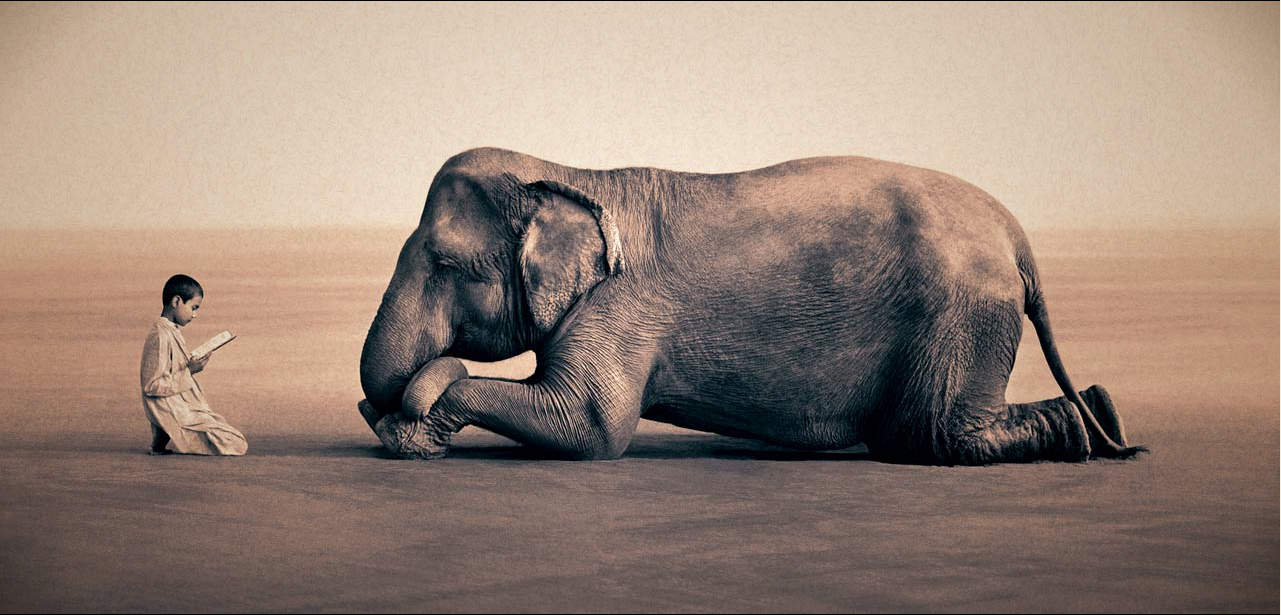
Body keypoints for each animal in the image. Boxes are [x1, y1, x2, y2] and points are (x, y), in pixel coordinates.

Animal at [357, 147, 1145, 464]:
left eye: (444, 263)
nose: (378, 400)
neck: (570, 173)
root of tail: (1016, 235)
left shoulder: (622, 306)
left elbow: (590, 428)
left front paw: (414, 422)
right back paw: (1102, 416)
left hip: (962, 311)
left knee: (936, 436)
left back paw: (1085, 431)